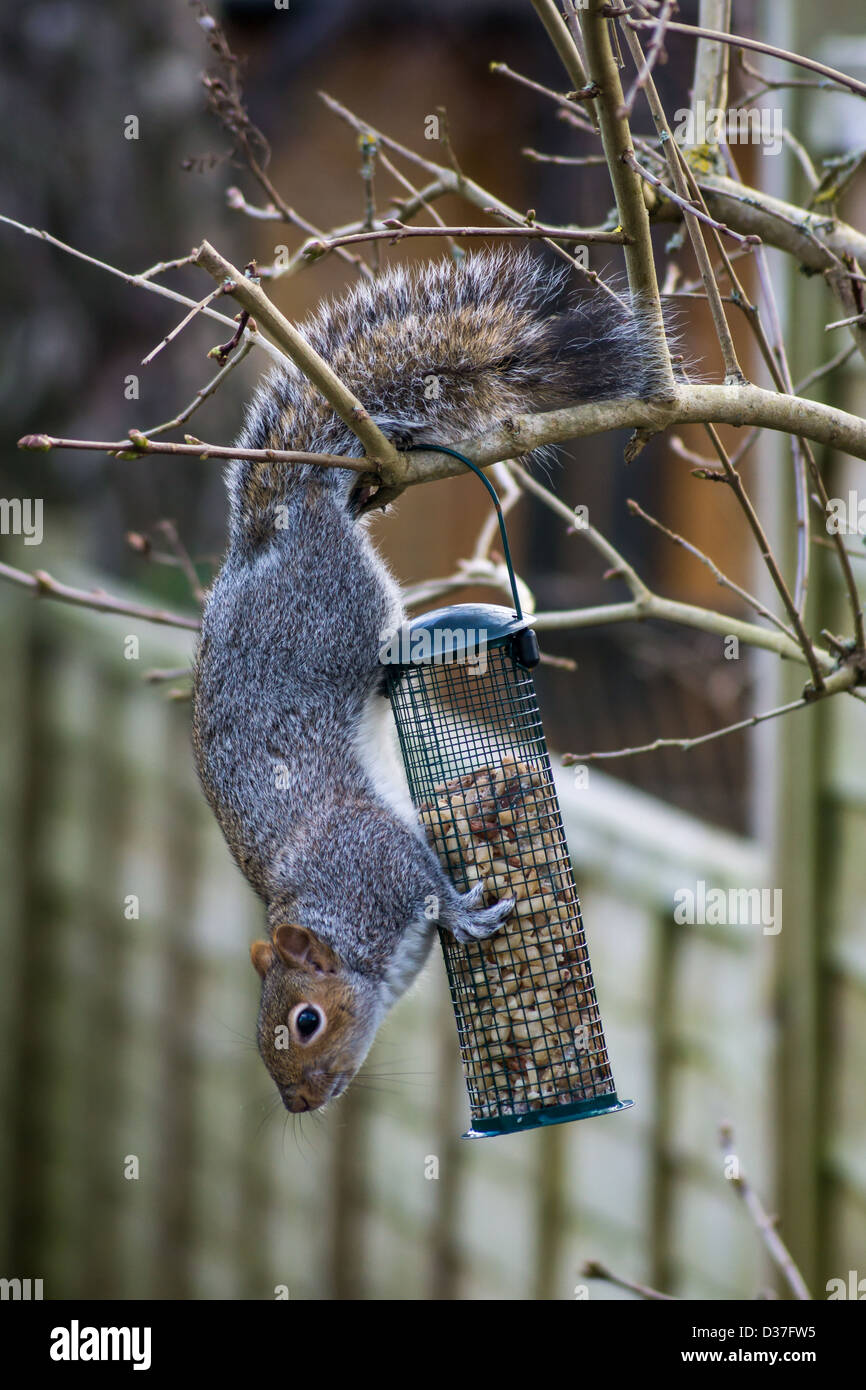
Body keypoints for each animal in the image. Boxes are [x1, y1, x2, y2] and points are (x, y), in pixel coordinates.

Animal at [191, 249, 668, 1115]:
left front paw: (464, 916)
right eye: (261, 1038)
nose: (298, 1103)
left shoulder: (378, 860)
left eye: (305, 1021)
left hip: (343, 614)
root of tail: (268, 539)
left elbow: (431, 887)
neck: (337, 921)